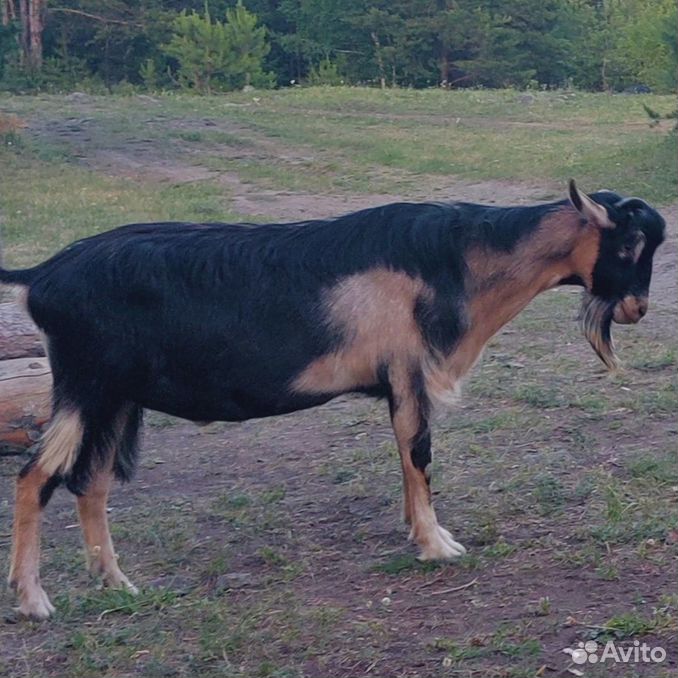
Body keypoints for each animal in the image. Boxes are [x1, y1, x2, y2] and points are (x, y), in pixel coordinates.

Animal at [2, 181, 668, 620]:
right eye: (629, 245)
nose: (637, 309)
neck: (455, 261)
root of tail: (40, 276)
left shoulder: (399, 383)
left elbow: (405, 460)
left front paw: (417, 531)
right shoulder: (408, 372)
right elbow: (420, 456)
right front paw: (437, 547)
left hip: (113, 397)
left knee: (91, 483)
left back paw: (116, 583)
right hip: (86, 386)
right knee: (35, 477)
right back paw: (35, 601)